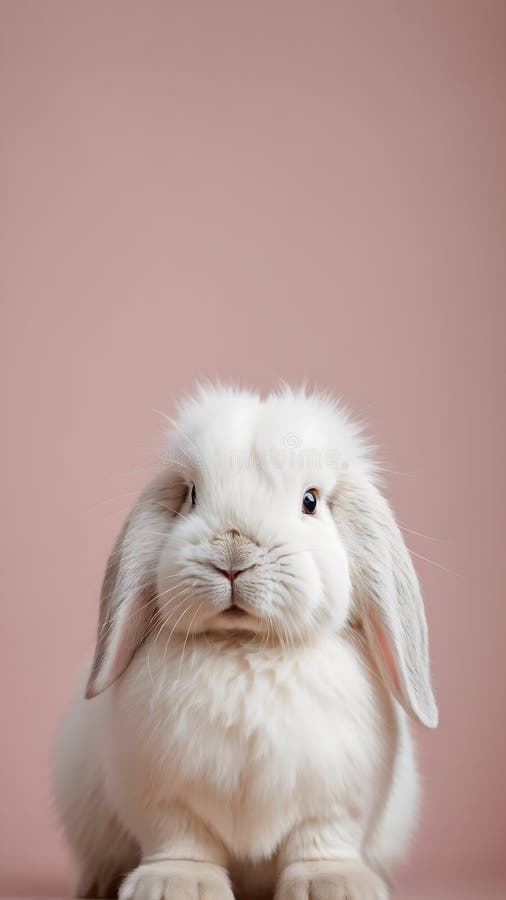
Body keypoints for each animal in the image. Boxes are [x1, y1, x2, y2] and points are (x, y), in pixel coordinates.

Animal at [53, 383, 438, 900]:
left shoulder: (337, 799)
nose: (233, 556)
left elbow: (322, 838)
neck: (247, 647)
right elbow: (180, 837)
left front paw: (331, 883)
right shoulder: (162, 794)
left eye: (310, 501)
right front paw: (177, 883)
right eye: (192, 496)